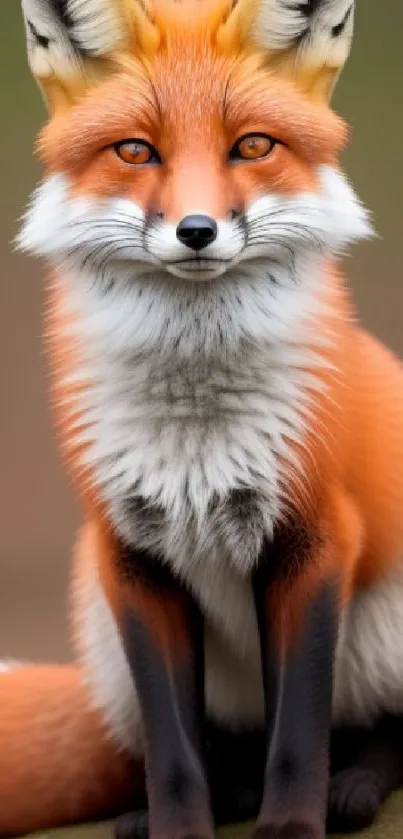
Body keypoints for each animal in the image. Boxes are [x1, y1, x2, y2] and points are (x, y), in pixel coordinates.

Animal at [3, 0, 403, 837]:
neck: (196, 436)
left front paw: (292, 825)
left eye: (251, 145)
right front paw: (179, 825)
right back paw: (207, 800)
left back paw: (352, 784)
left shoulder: (313, 537)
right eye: (135, 150)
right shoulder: (130, 555)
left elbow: (298, 732)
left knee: (377, 726)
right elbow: (174, 749)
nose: (196, 231)